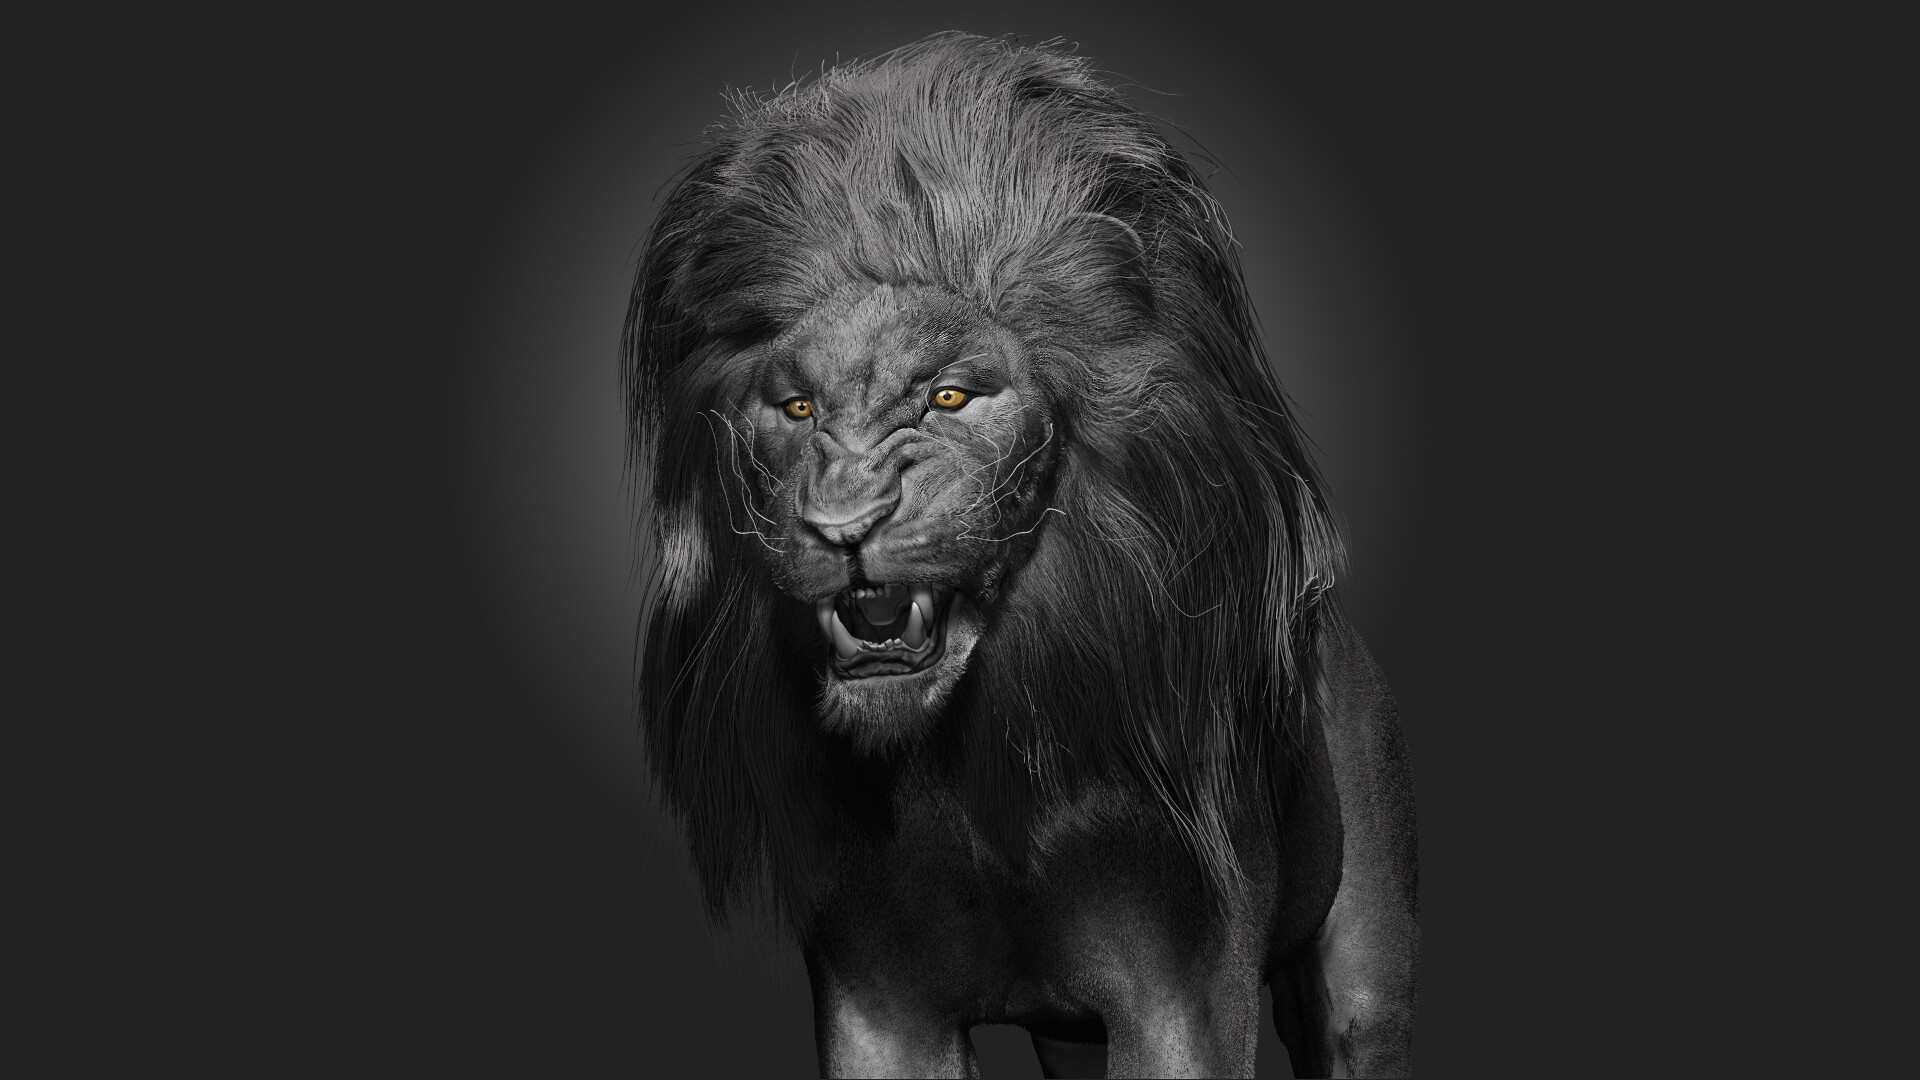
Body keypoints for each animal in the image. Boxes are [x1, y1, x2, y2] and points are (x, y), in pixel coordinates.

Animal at [622, 33, 1418, 1078]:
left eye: (948, 398)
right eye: (796, 408)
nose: (841, 525)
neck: (962, 777)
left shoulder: (1180, 996)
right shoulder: (879, 1005)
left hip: (1365, 984)